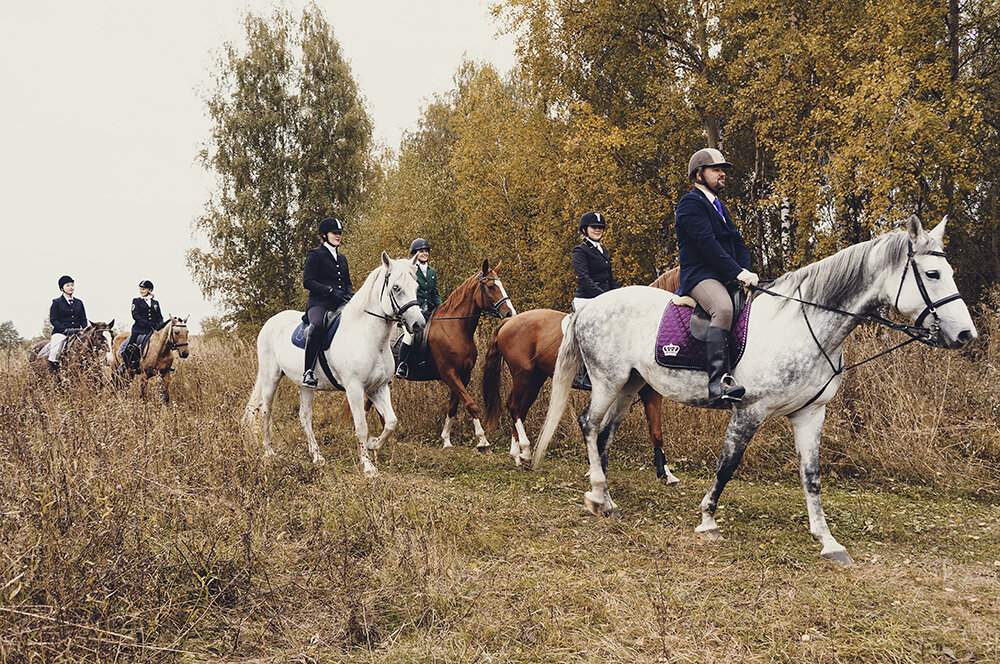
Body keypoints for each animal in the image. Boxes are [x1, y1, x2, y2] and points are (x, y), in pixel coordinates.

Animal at [248, 252, 428, 474]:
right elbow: (361, 426)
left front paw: (373, 444)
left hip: (304, 385)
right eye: (396, 287)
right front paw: (368, 467)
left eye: (417, 287)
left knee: (305, 417)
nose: (419, 324)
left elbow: (391, 422)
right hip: (270, 377)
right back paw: (269, 453)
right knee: (266, 411)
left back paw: (317, 457)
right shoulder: (355, 389)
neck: (370, 337)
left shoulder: (378, 387)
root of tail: (271, 322)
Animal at [394, 260, 516, 452]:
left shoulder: (463, 375)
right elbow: (471, 404)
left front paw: (446, 440)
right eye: (490, 286)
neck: (455, 328)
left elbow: (453, 407)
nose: (510, 313)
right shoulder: (449, 374)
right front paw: (483, 441)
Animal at [480, 266, 684, 482]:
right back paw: (525, 453)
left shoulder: (649, 391)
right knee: (514, 407)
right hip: (524, 376)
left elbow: (656, 430)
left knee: (518, 407)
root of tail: (509, 320)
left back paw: (517, 455)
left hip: (534, 378)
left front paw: (666, 474)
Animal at [536, 217, 980, 560]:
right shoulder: (749, 410)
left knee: (604, 433)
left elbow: (811, 475)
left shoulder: (810, 413)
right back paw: (597, 495)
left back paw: (606, 499)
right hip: (607, 379)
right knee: (588, 424)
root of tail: (589, 307)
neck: (805, 323)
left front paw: (827, 540)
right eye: (932, 274)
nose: (965, 335)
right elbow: (727, 465)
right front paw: (708, 520)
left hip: (631, 384)